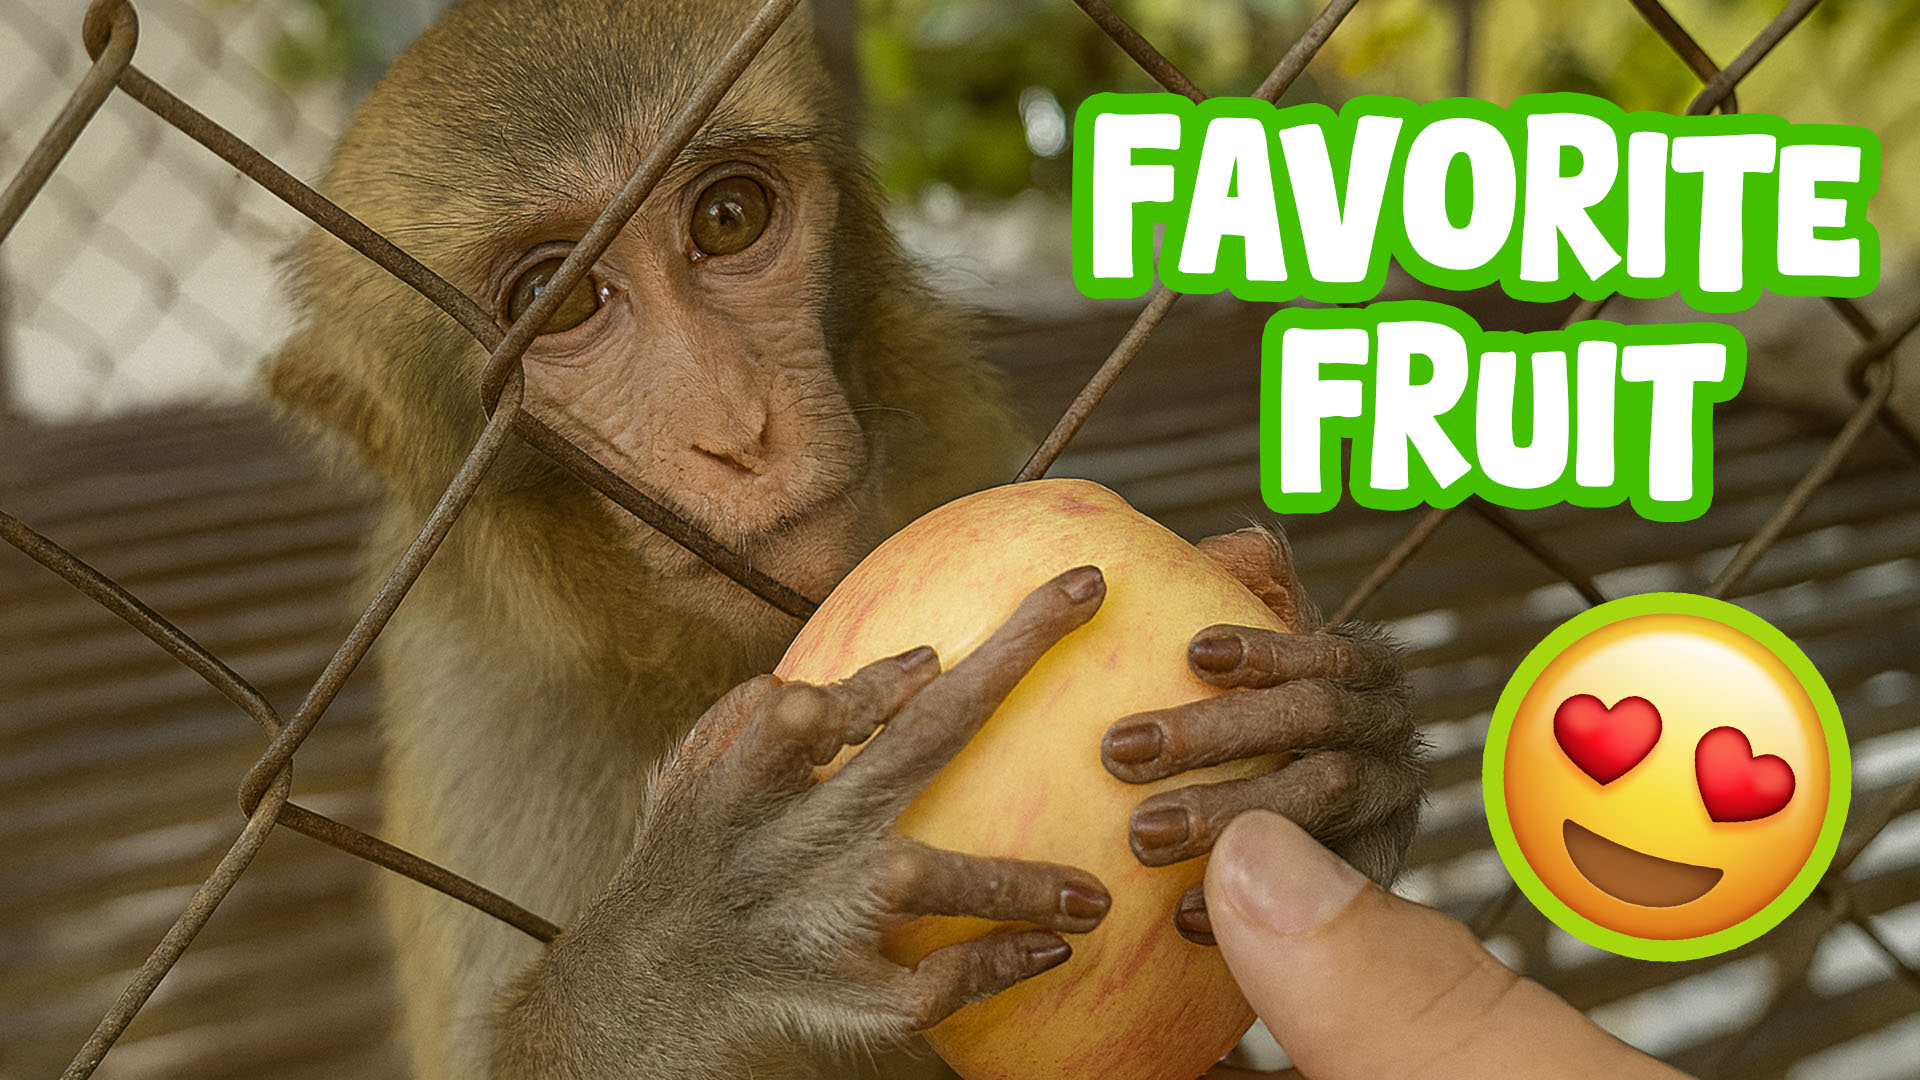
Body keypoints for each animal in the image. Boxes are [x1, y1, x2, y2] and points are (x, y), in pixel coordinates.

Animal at [263, 1, 1423, 1078]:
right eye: (560, 303)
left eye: (729, 217)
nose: (741, 428)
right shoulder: (492, 724)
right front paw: (694, 936)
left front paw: (1348, 731)